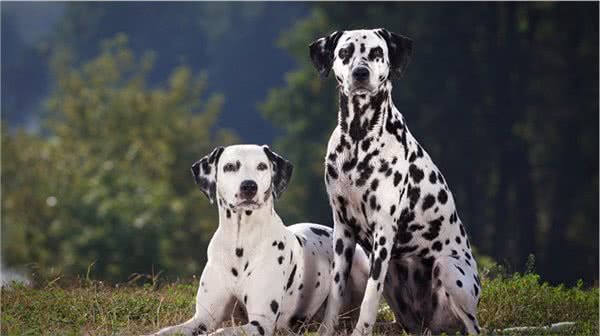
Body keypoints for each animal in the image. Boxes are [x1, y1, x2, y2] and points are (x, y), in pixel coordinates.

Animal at [149, 145, 370, 336]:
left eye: (262, 166)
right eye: (230, 167)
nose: (249, 186)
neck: (241, 242)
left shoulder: (261, 322)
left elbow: (221, 332)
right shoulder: (202, 318)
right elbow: (168, 331)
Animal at [312, 29, 480, 336]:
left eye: (377, 52)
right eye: (345, 53)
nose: (360, 73)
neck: (358, 138)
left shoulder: (383, 233)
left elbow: (369, 297)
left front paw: (361, 331)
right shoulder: (342, 230)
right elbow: (335, 293)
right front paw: (326, 330)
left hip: (449, 270)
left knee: (474, 326)